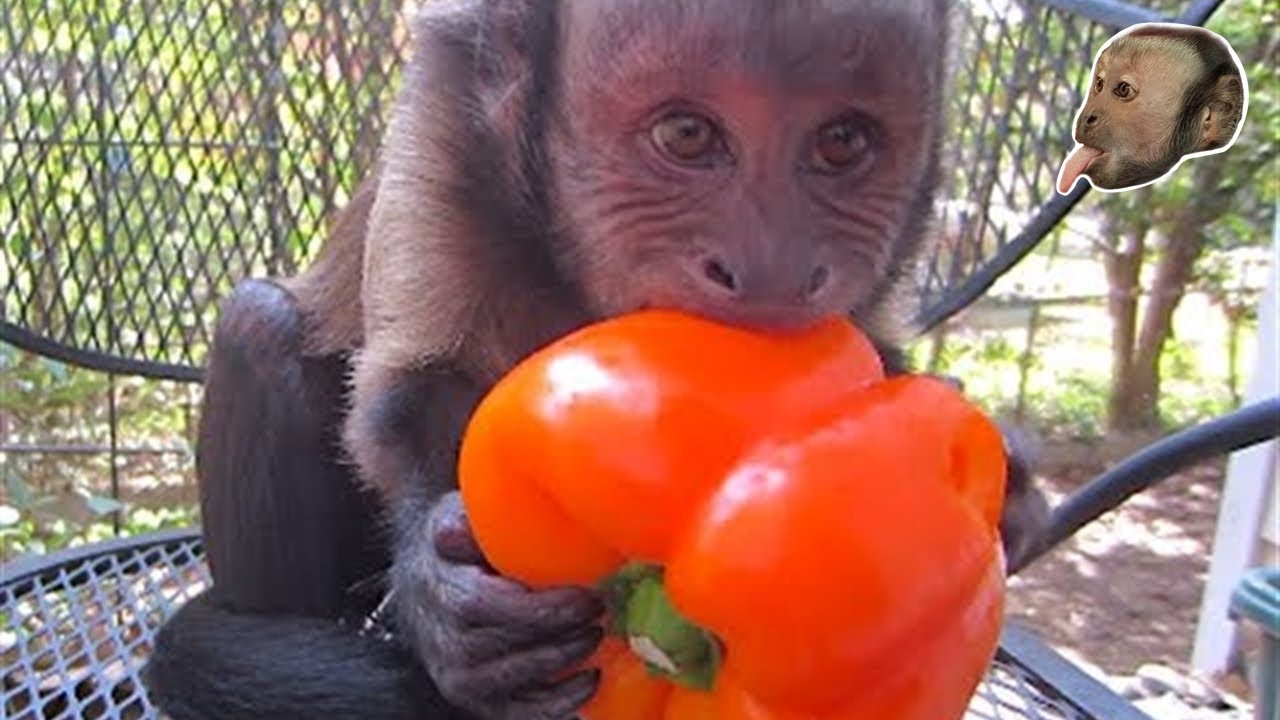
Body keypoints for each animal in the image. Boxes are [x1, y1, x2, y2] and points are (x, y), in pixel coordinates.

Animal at [143, 2, 1050, 719]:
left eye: (842, 143)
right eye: (686, 134)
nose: (772, 268)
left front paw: (1004, 491)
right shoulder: (443, 110)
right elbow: (409, 399)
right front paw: (442, 609)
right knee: (260, 326)